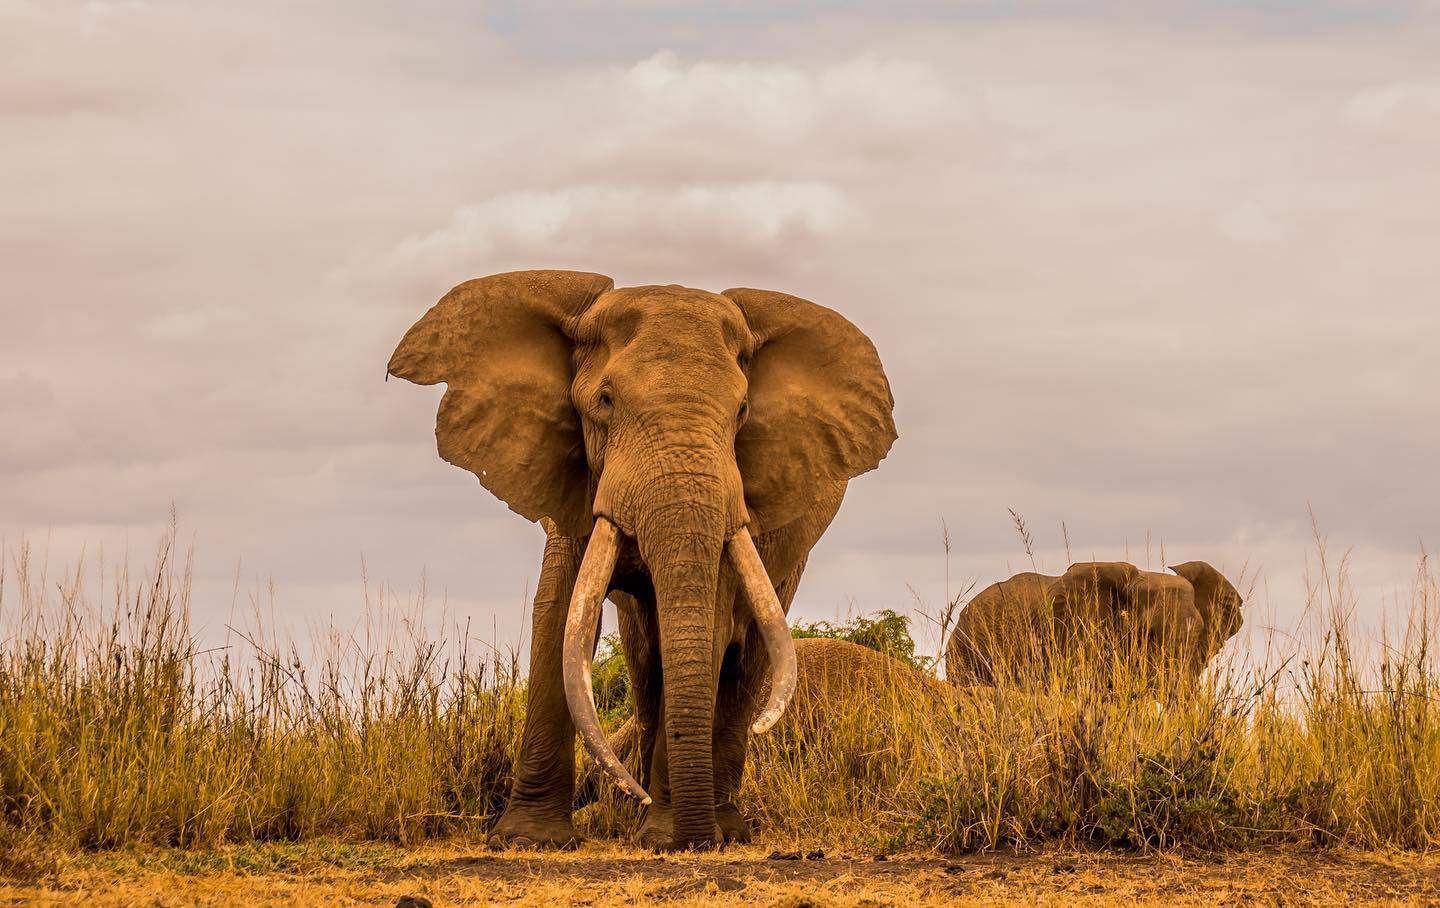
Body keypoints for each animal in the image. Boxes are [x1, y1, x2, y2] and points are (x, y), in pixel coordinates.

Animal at [387, 270, 896, 850]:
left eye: (743, 413)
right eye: (605, 401)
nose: (691, 841)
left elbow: (713, 625)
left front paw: (666, 837)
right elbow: (560, 615)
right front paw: (528, 840)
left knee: (746, 652)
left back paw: (721, 827)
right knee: (647, 654)